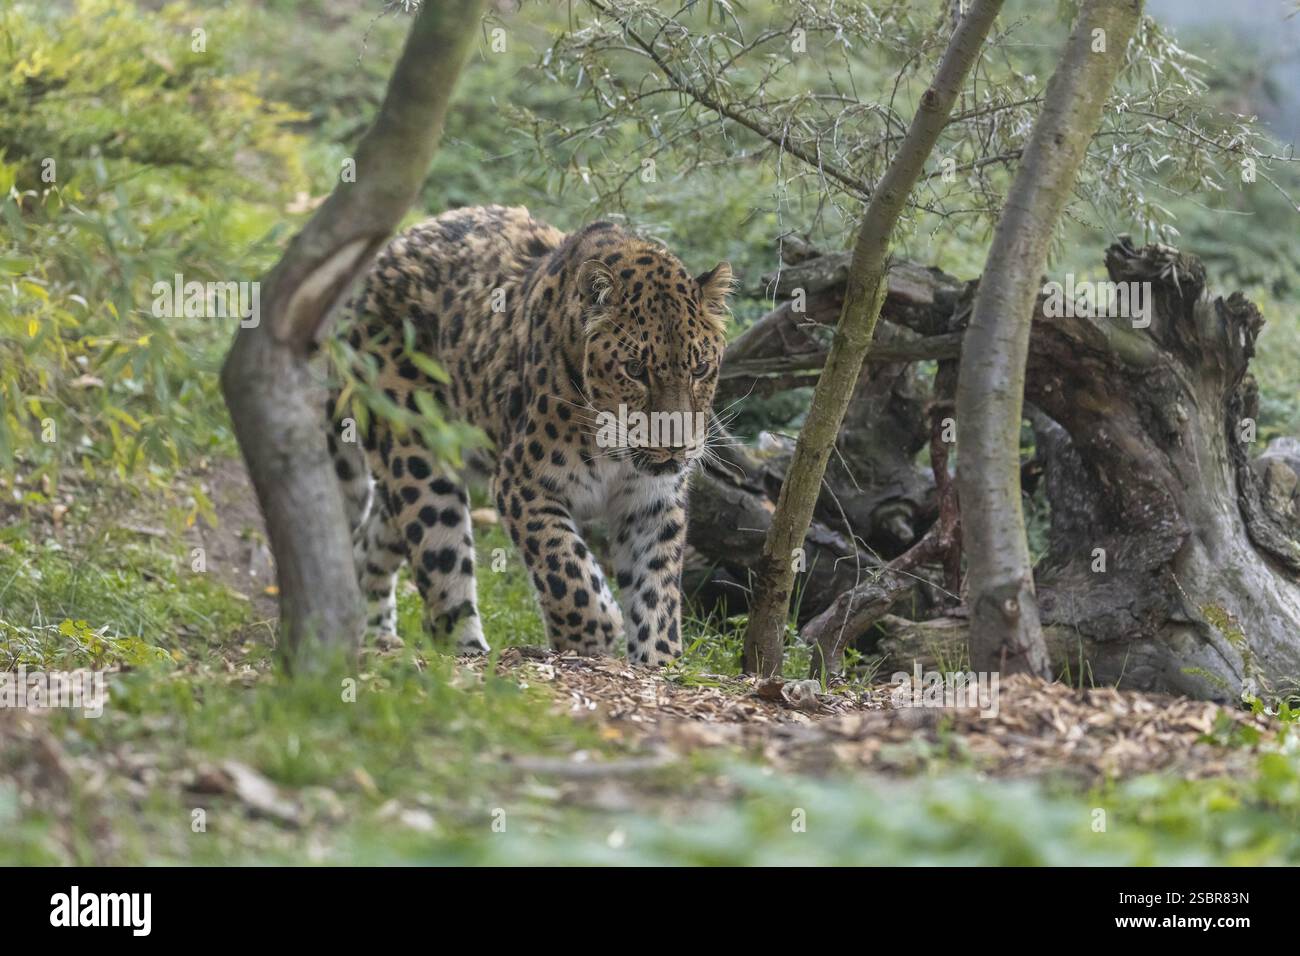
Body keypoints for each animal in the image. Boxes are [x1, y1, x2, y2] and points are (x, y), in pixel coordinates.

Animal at [326, 204, 732, 666]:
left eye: (700, 368)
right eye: (635, 370)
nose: (674, 445)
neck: (614, 450)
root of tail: (382, 256)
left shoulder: (652, 503)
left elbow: (656, 591)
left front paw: (659, 661)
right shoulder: (523, 484)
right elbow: (566, 569)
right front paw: (593, 636)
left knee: (371, 541)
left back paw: (376, 635)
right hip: (416, 450)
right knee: (440, 560)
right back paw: (468, 654)